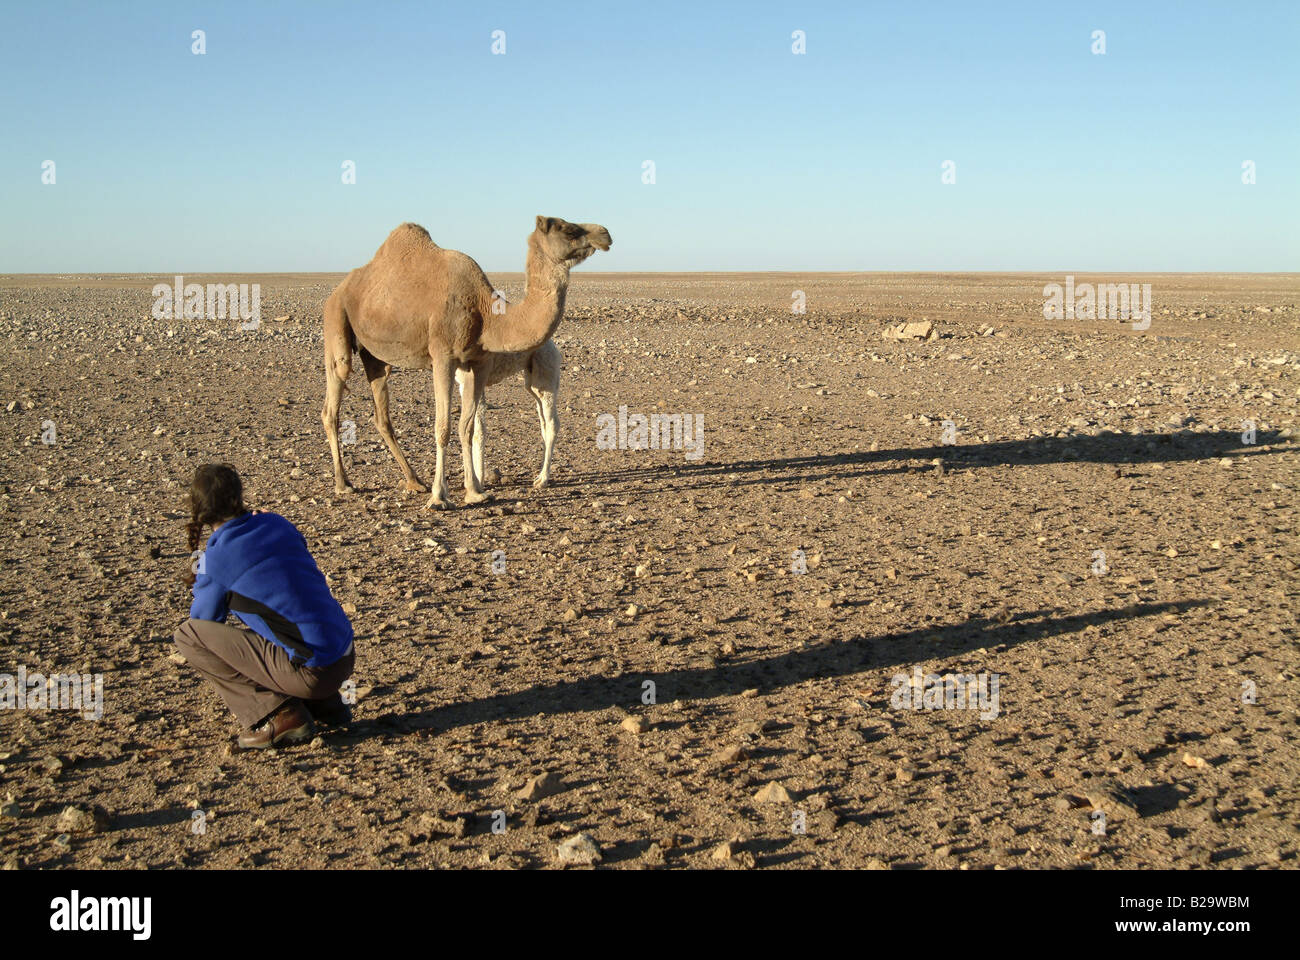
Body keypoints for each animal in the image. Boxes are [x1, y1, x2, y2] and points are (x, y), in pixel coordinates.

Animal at [454, 338, 561, 490]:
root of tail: (553, 346)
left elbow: (478, 431)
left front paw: (479, 480)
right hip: (533, 382)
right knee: (543, 423)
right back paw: (540, 474)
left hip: (547, 375)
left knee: (552, 423)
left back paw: (542, 480)